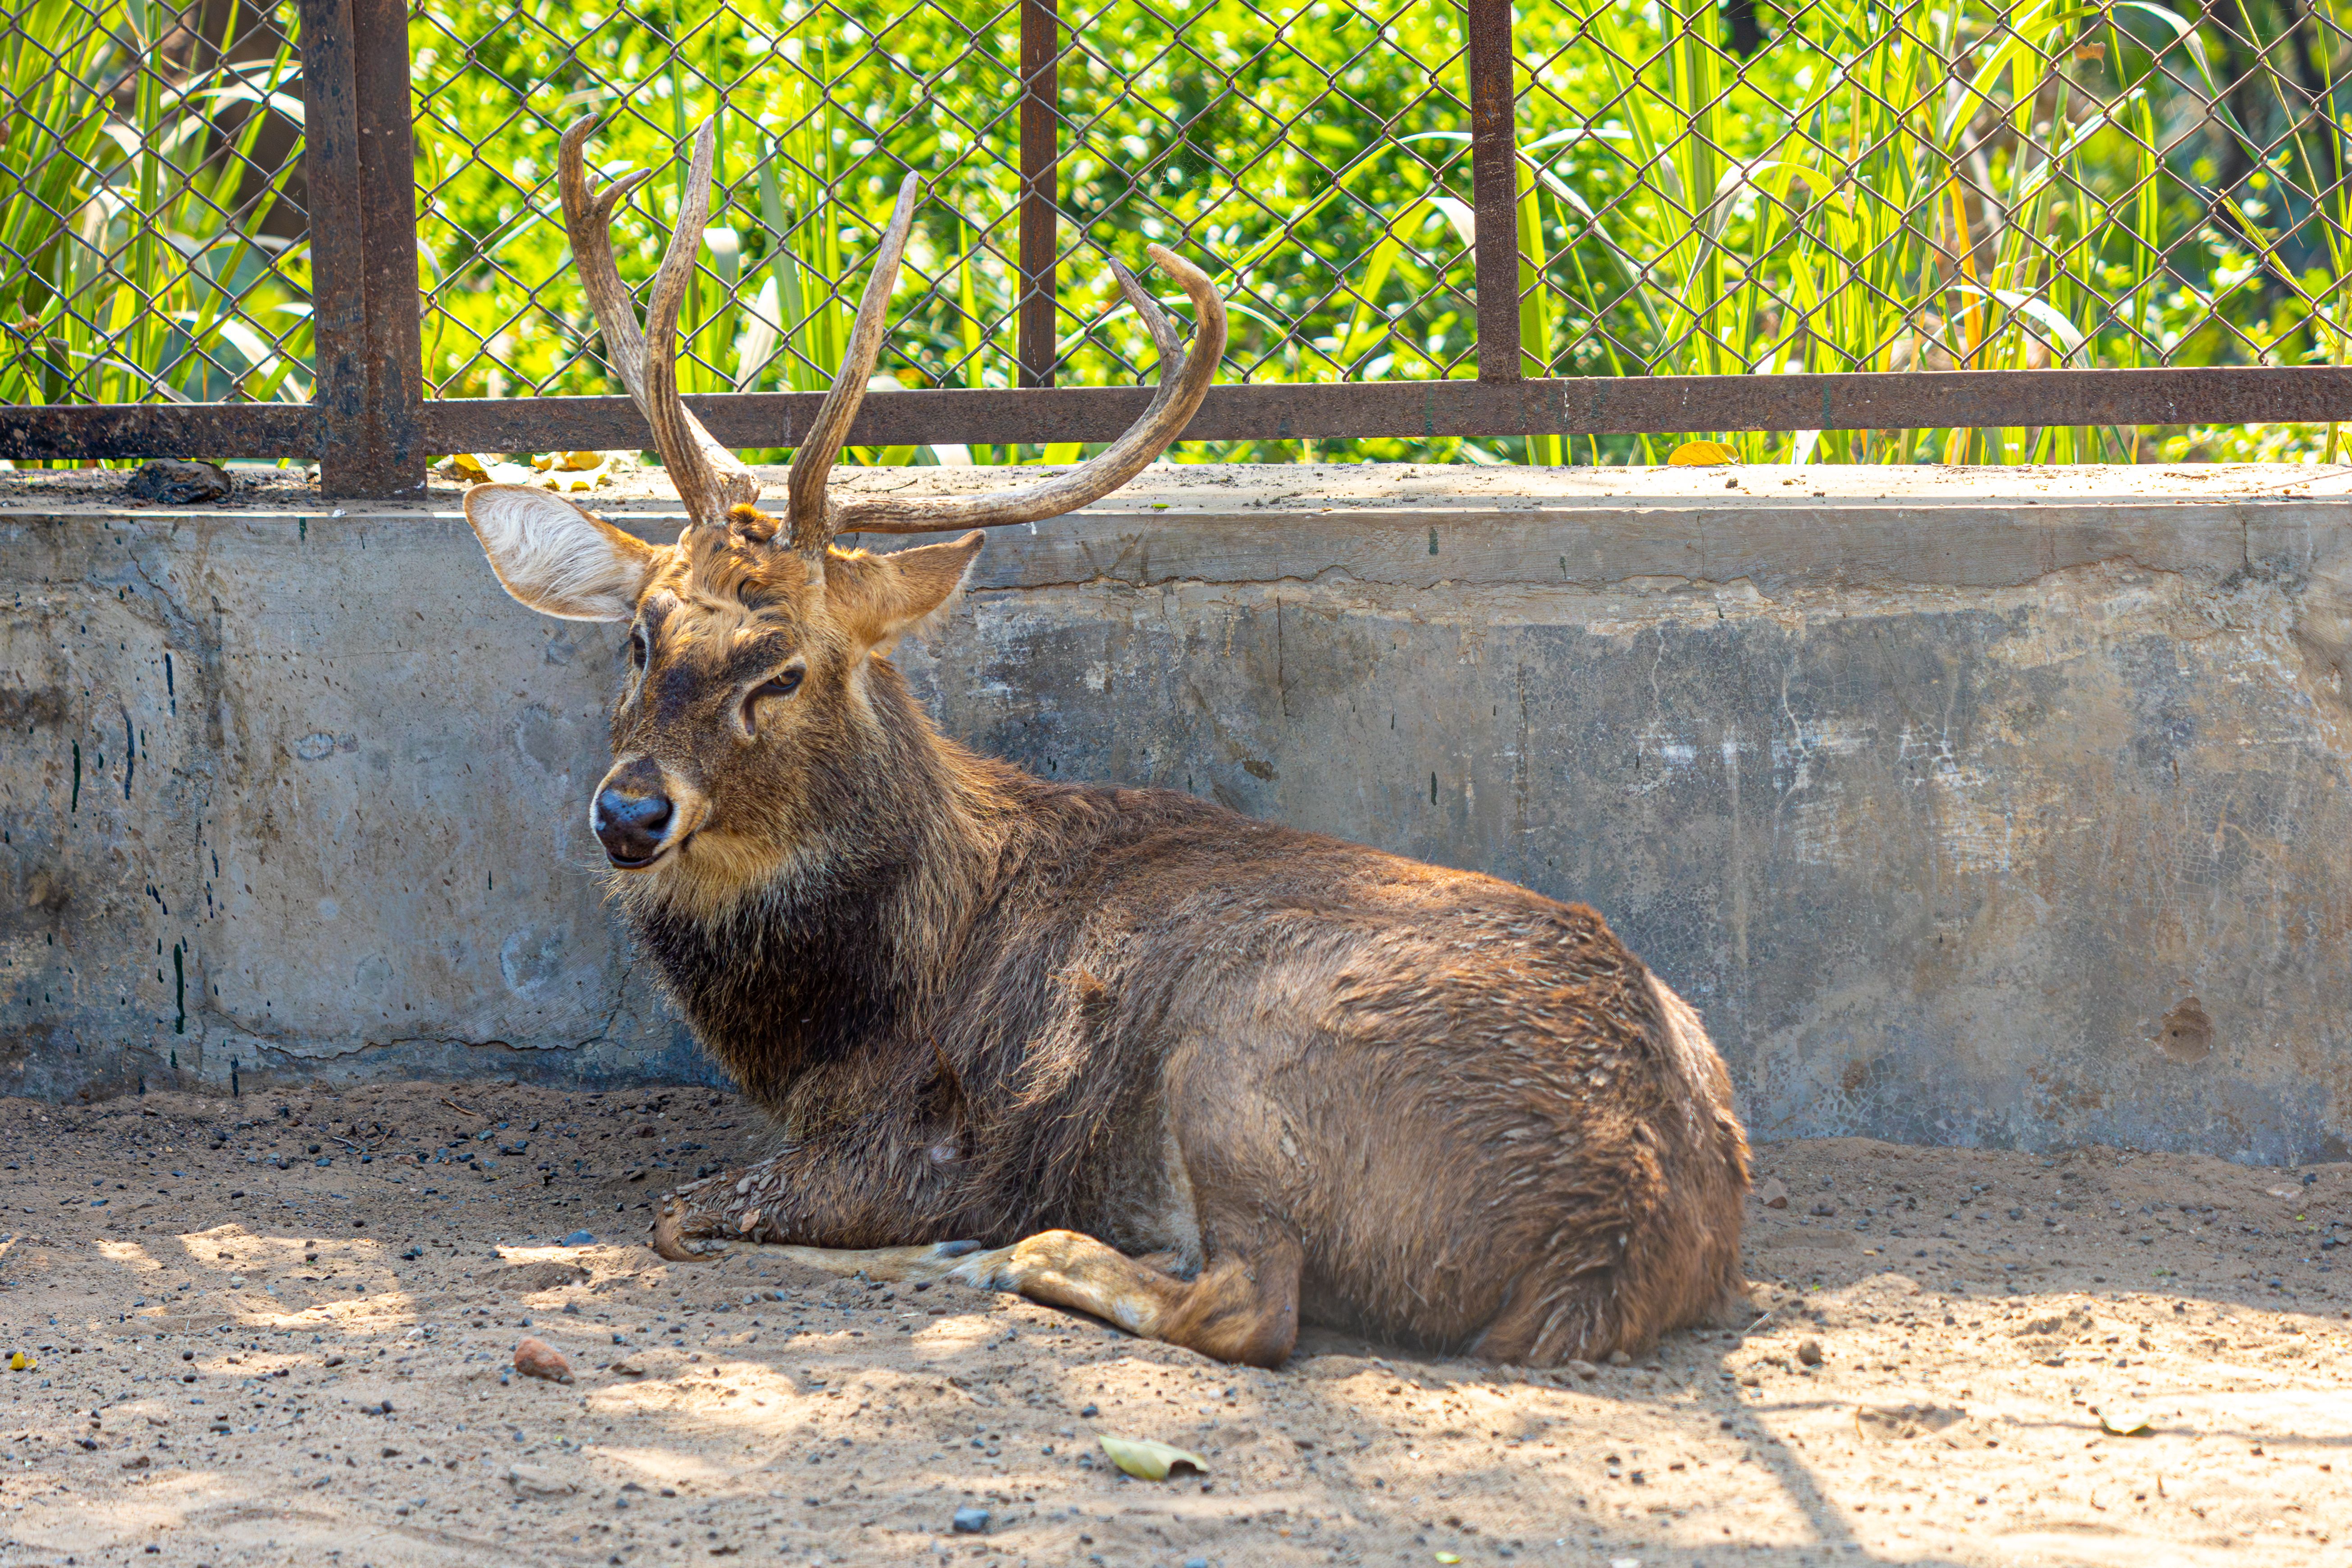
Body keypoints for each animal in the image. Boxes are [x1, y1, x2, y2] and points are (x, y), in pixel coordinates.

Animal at [456, 116, 1751, 1368]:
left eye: (783, 670)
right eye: (639, 636)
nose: (629, 811)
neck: (846, 1004)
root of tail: (1611, 1234)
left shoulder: (922, 1134)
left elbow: (686, 1212)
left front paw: (925, 1242)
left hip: (1242, 1053)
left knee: (1246, 1305)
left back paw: (1001, 1256)